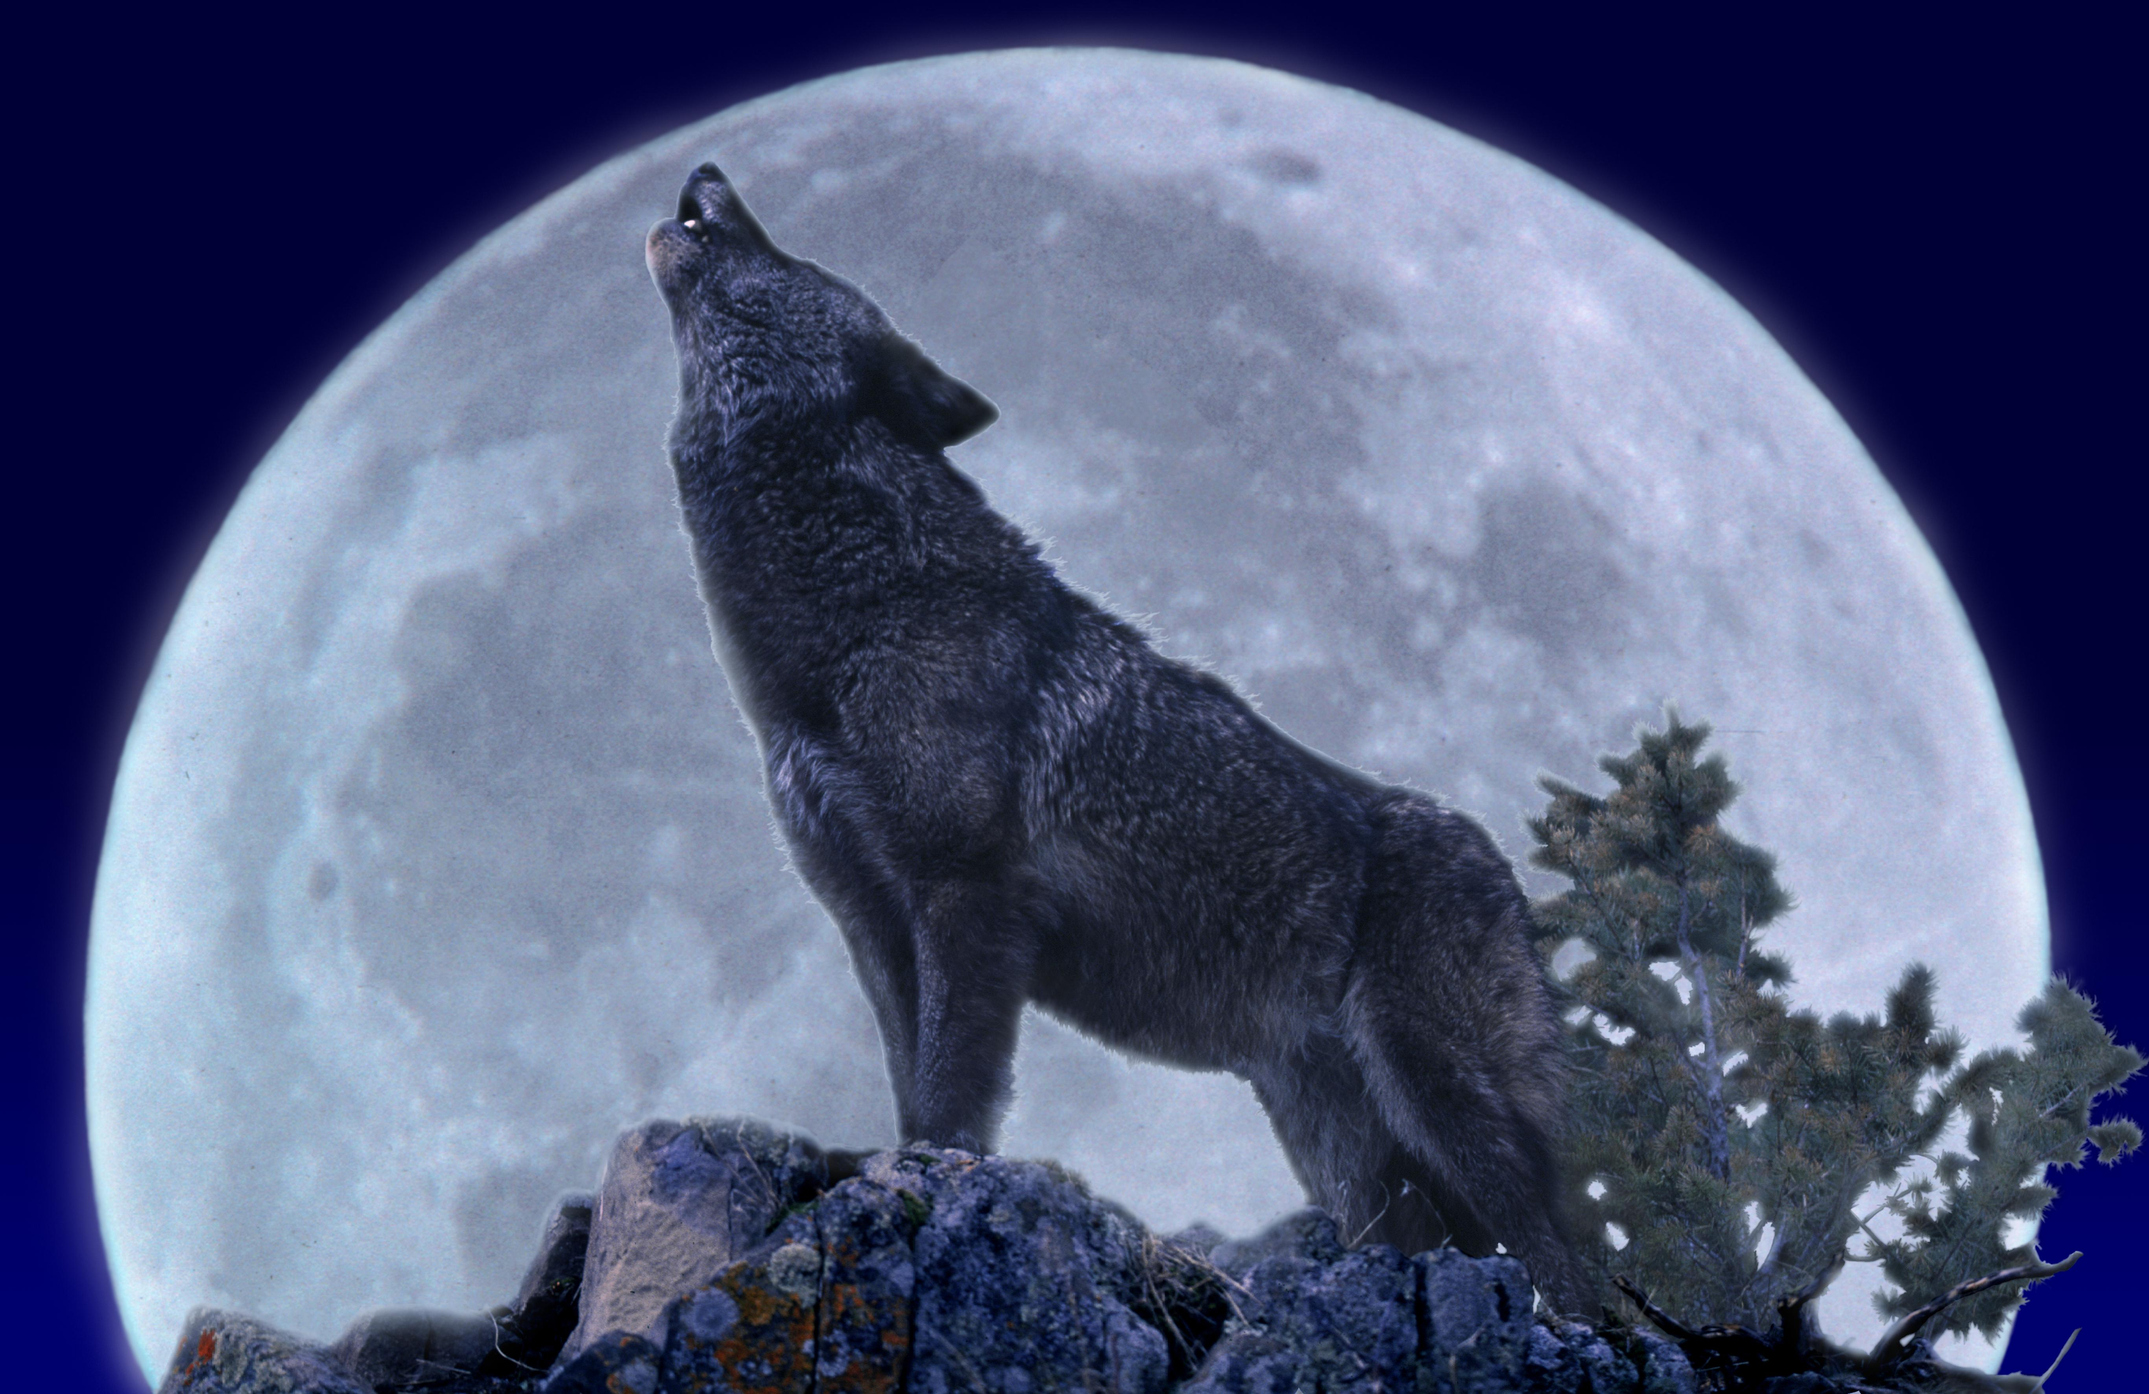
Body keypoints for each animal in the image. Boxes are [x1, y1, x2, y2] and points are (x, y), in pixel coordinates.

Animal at [646, 163, 1586, 1309]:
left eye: (789, 255)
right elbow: (906, 1072)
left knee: (1566, 1259)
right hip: (1343, 1144)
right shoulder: (868, 917)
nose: (708, 172)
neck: (846, 628)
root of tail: (1510, 872)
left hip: (1435, 1096)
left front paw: (932, 1175)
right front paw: (891, 1164)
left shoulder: (964, 896)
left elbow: (952, 1084)